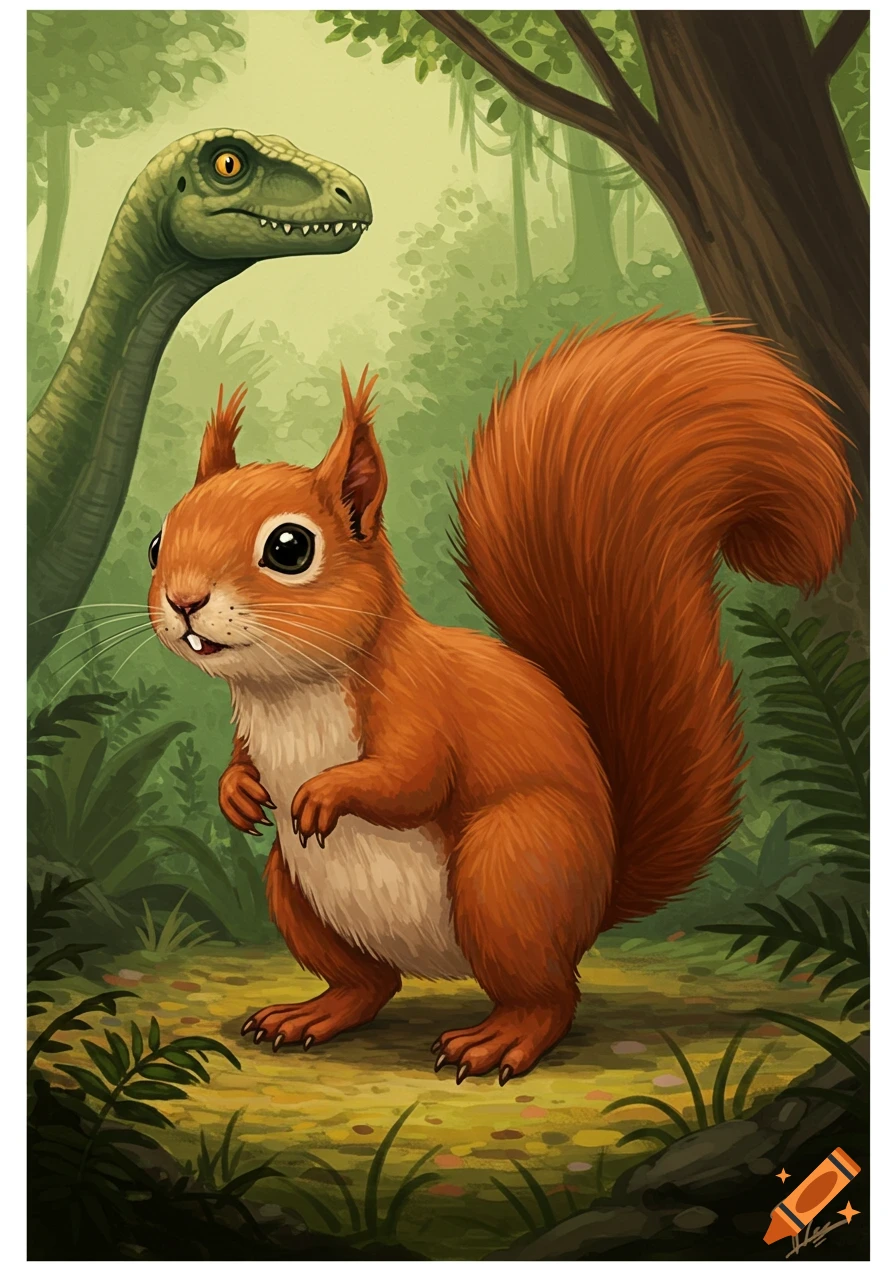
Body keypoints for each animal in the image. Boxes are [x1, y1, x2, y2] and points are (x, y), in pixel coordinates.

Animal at [148, 313, 854, 1084]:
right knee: (370, 985)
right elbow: (243, 761)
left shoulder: (422, 700)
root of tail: (598, 897)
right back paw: (312, 1014)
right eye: (158, 541)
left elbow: (415, 778)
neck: (288, 689)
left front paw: (323, 793)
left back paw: (497, 1040)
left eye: (288, 548)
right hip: (297, 888)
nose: (183, 601)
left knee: (549, 997)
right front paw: (239, 793)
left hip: (510, 870)